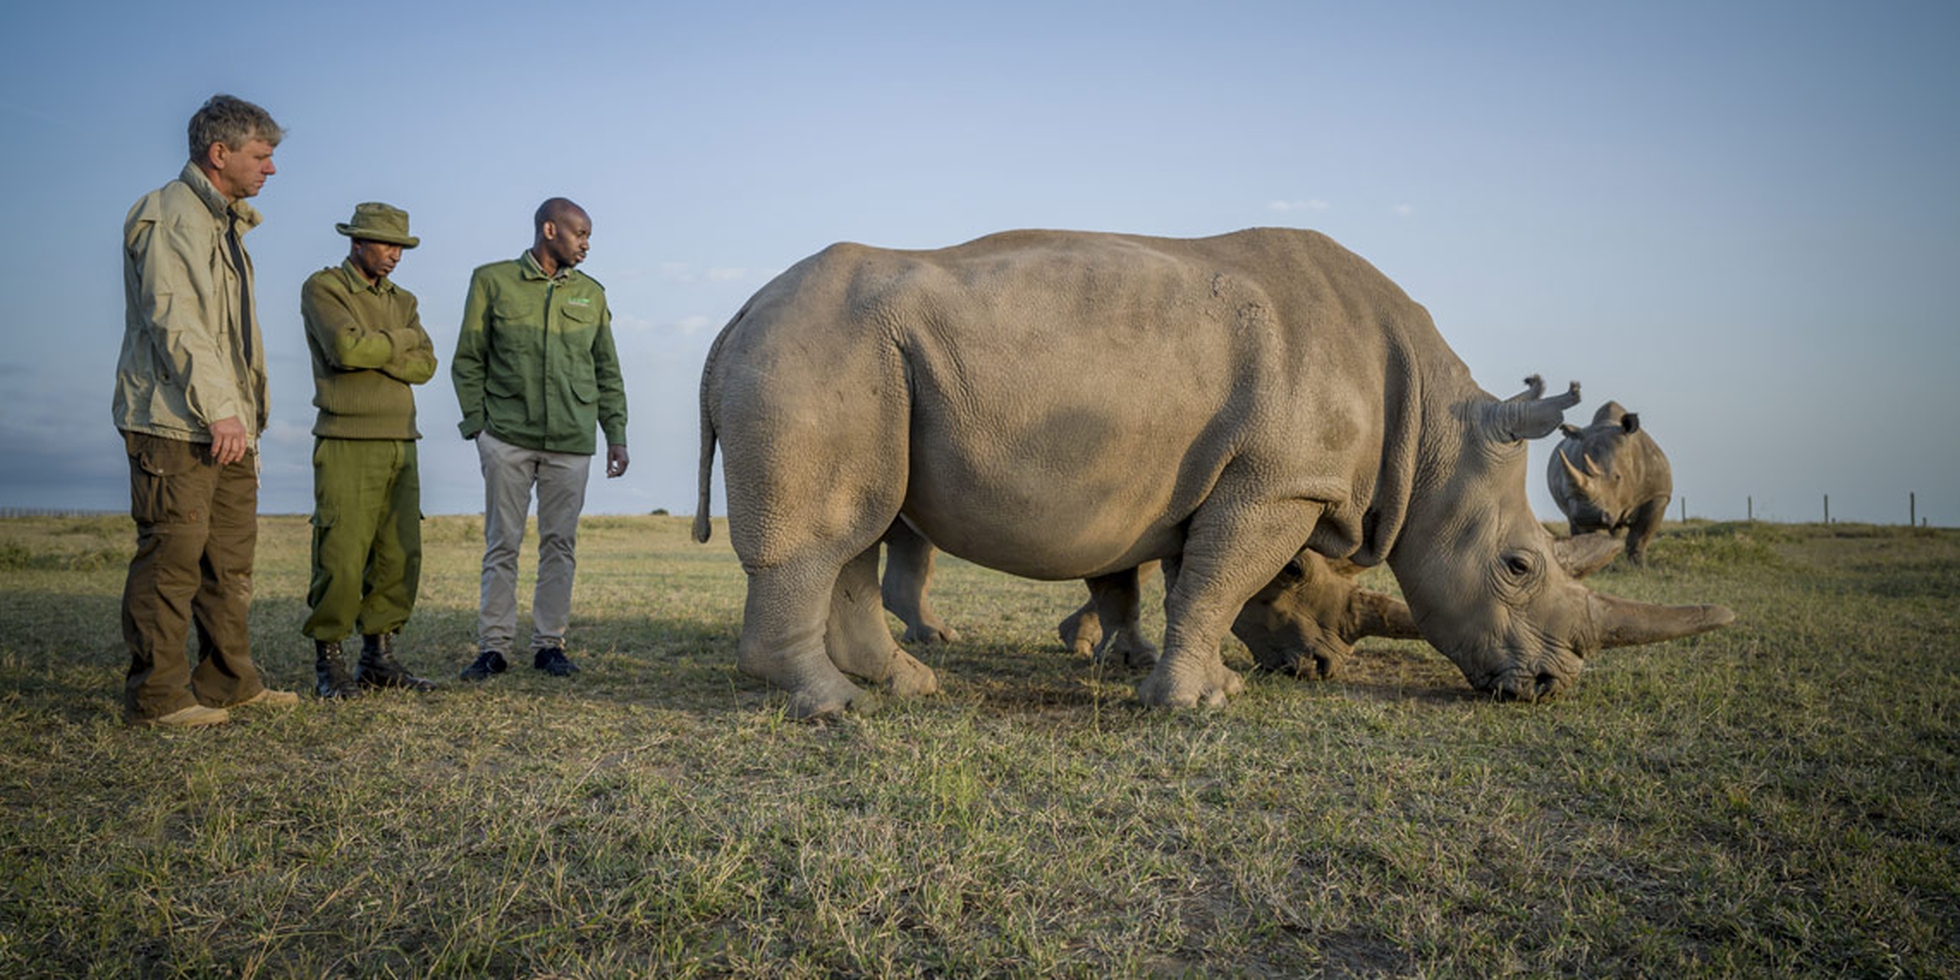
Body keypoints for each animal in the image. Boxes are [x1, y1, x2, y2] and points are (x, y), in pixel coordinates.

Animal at [1548, 401, 1673, 564]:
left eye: (1618, 477)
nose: (1587, 516)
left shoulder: (1656, 494)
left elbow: (1639, 537)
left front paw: (1638, 566)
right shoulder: (1573, 501)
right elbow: (1590, 540)